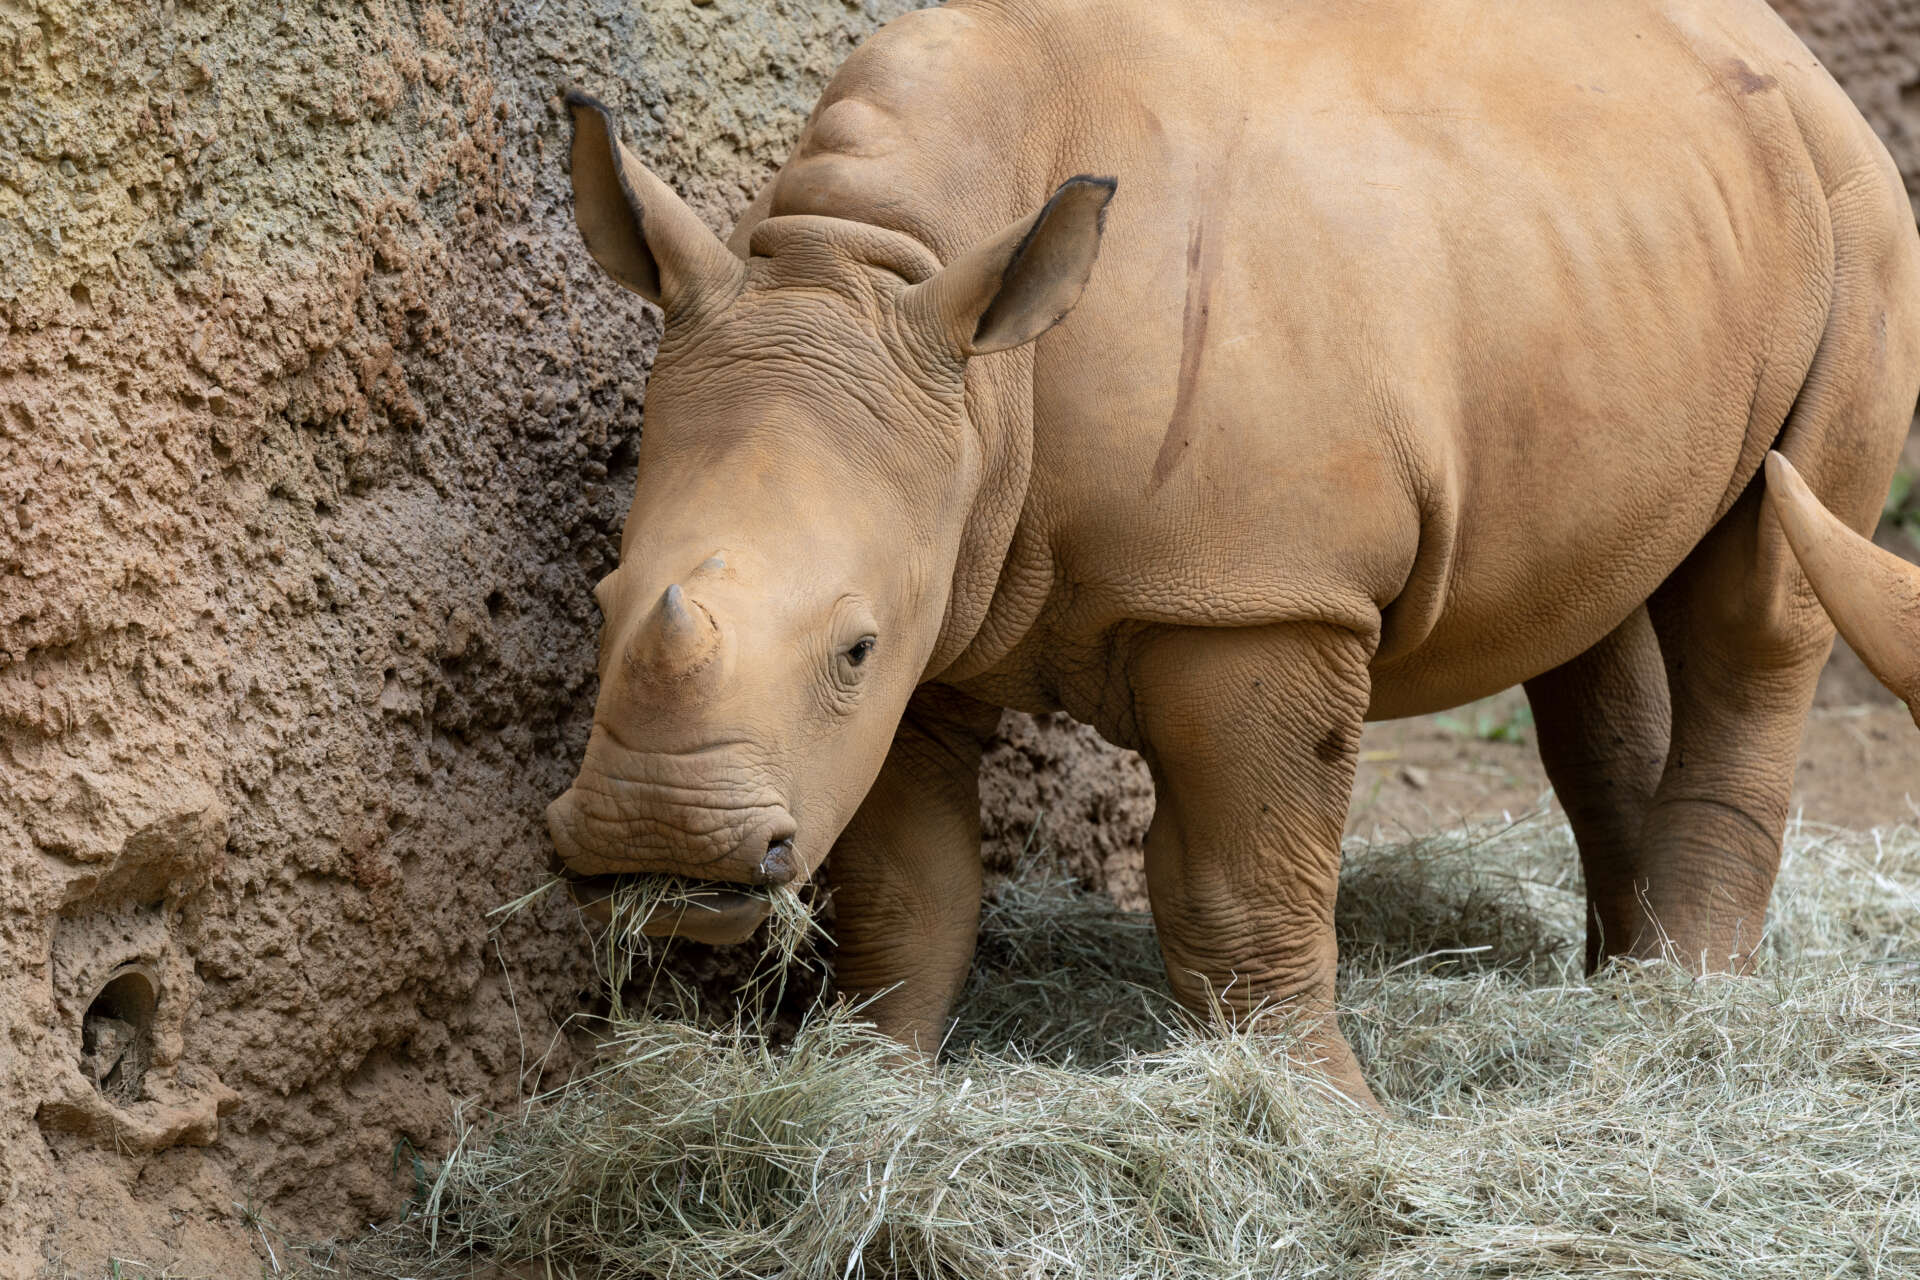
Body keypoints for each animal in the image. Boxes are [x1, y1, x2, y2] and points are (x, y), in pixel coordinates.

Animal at [545, 0, 1920, 1103]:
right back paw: (1620, 985)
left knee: (1763, 594)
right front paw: (877, 1079)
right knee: (1589, 602)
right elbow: (907, 886)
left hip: (1860, 207)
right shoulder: (938, 587)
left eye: (851, 644)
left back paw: (1684, 1006)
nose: (658, 836)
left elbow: (1241, 882)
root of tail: (1789, 47)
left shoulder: (1257, 596)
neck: (889, 270)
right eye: (603, 597)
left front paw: (1329, 1116)